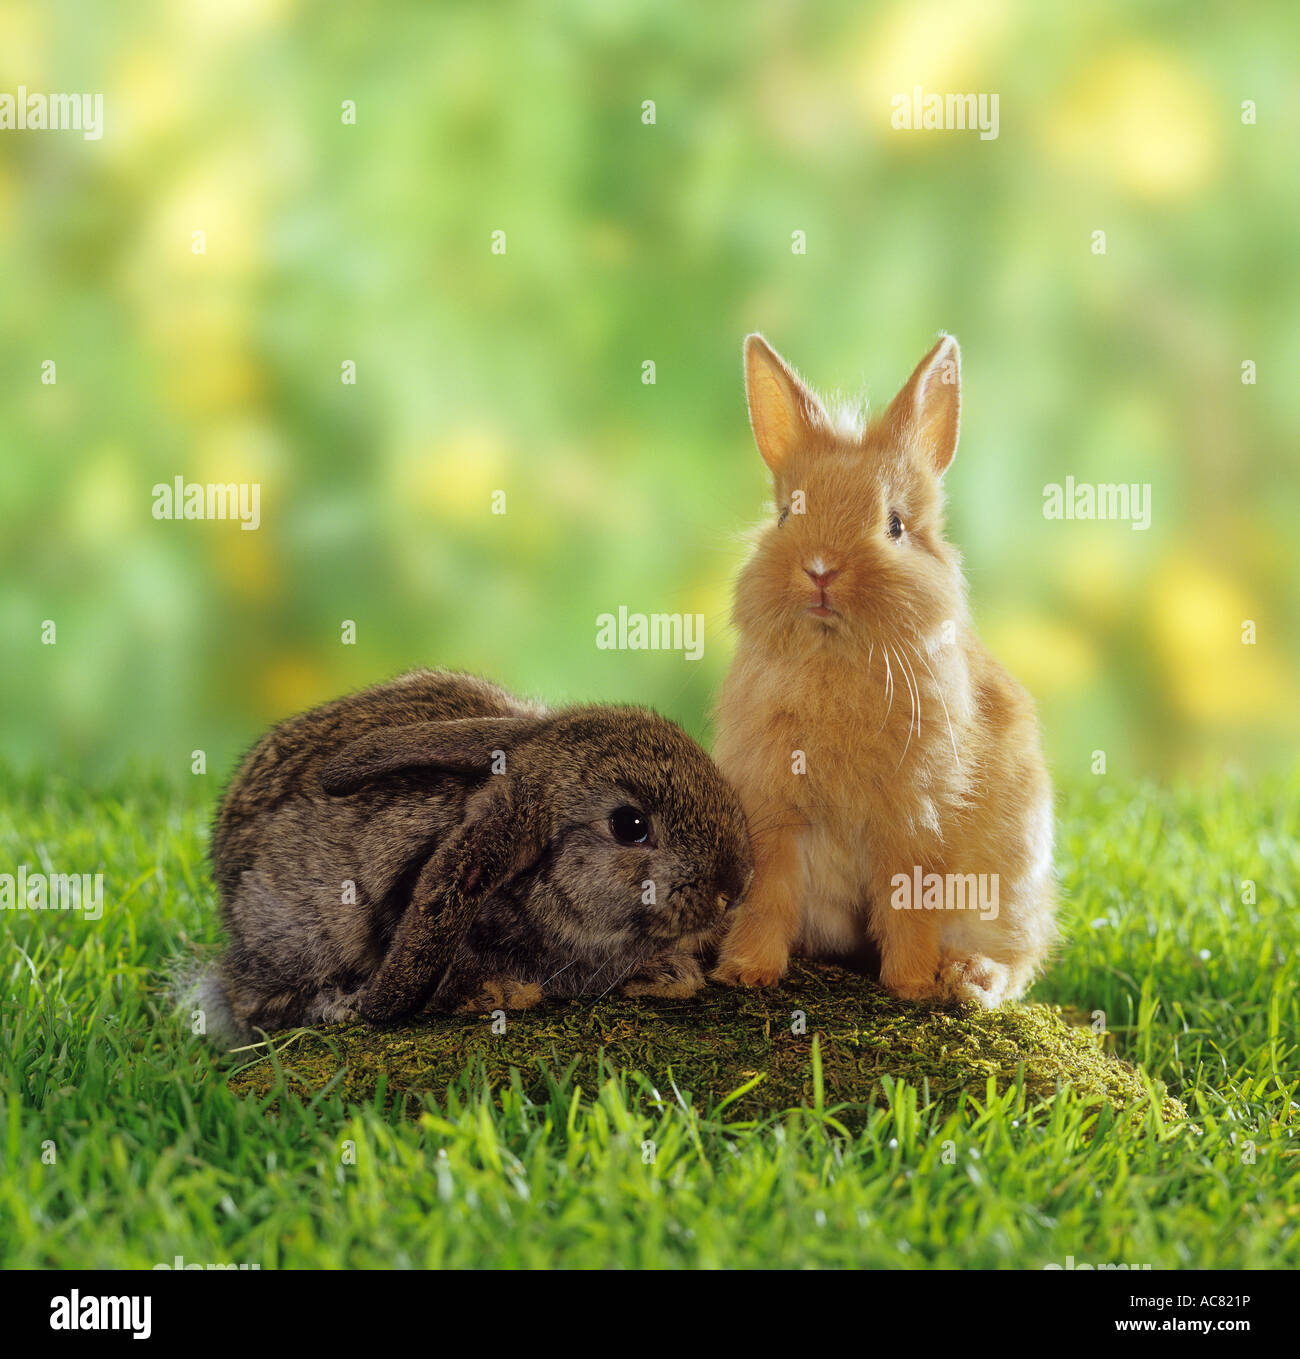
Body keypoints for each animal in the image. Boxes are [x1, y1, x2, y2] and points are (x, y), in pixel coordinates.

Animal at [710, 333, 1057, 1008]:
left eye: (895, 525)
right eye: (786, 515)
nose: (820, 569)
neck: (835, 658)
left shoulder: (914, 820)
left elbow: (909, 906)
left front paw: (912, 985)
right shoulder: (773, 815)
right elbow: (768, 899)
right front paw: (745, 971)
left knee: (1018, 959)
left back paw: (968, 980)